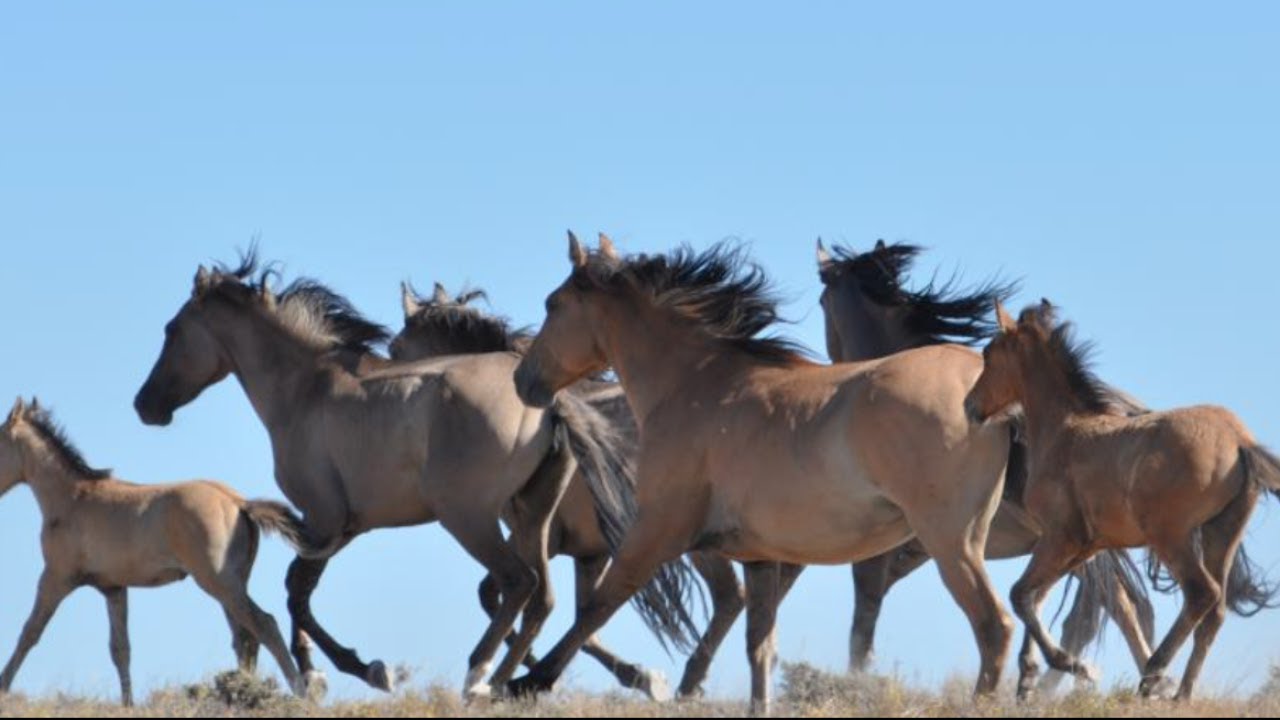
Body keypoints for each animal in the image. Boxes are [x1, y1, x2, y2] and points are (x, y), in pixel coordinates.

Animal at [0, 398, 314, 706]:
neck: (73, 499)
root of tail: (238, 502)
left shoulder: (56, 577)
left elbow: (29, 632)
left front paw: (3, 687)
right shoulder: (113, 588)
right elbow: (120, 648)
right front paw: (128, 704)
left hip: (219, 582)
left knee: (264, 625)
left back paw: (297, 693)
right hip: (233, 584)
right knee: (244, 637)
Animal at [132, 250, 698, 698]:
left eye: (170, 330)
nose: (145, 405)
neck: (307, 388)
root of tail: (550, 402)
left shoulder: (325, 520)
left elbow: (296, 592)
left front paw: (346, 671)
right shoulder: (346, 527)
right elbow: (298, 593)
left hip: (470, 518)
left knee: (517, 583)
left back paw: (479, 678)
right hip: (531, 516)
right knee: (541, 599)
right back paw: (507, 684)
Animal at [391, 280, 735, 700]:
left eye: (394, 348)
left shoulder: (542, 537)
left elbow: (503, 595)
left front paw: (509, 677)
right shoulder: (588, 553)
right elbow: (584, 619)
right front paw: (635, 675)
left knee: (730, 596)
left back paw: (691, 683)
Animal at [508, 233, 1017, 713]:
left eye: (553, 304)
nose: (521, 380)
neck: (697, 386)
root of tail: (985, 391)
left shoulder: (657, 530)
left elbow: (601, 604)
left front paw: (528, 683)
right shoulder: (760, 557)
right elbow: (761, 646)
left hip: (949, 539)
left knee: (994, 624)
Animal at [965, 300, 1280, 701]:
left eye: (989, 354)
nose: (970, 406)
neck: (1065, 430)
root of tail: (1240, 441)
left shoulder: (1060, 536)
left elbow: (1021, 594)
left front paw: (1073, 665)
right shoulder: (1086, 546)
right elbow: (1034, 596)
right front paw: (1038, 677)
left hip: (1171, 536)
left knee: (1201, 593)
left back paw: (1154, 674)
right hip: (1221, 532)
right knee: (1216, 611)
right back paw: (1182, 694)